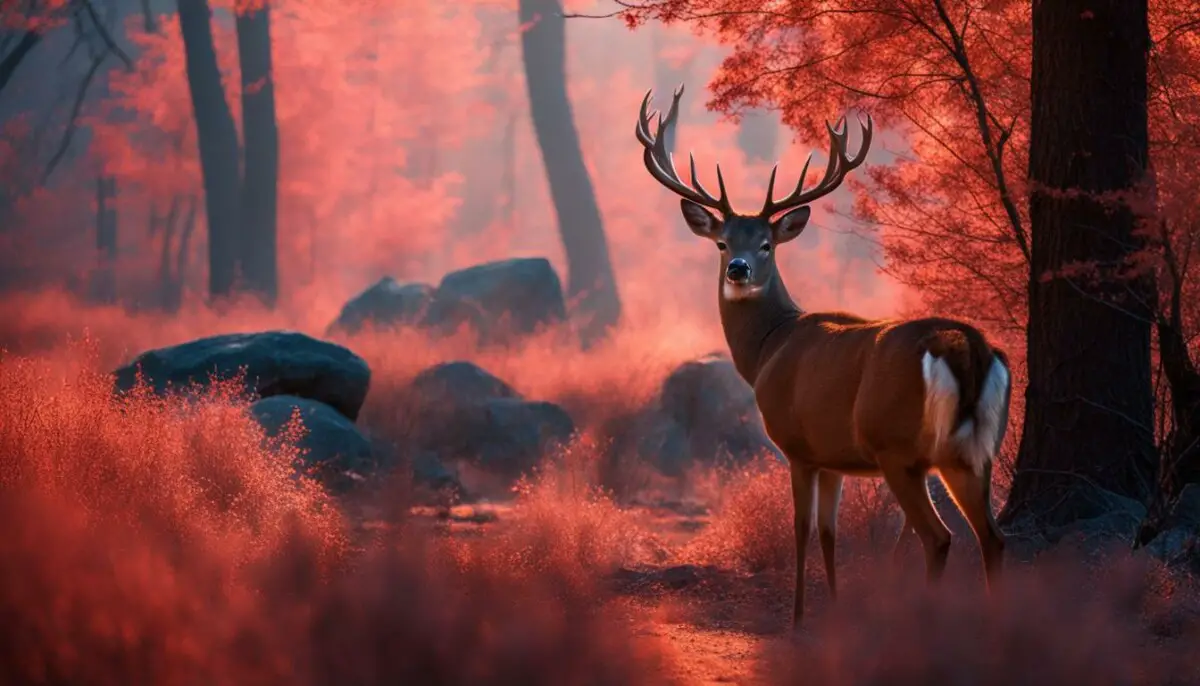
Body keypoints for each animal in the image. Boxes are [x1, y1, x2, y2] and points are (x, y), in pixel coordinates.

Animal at [635, 85, 1012, 627]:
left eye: (767, 244)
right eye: (722, 242)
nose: (738, 269)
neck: (768, 348)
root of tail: (969, 348)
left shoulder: (798, 445)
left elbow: (802, 530)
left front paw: (797, 621)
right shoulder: (835, 456)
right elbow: (832, 535)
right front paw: (831, 611)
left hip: (899, 447)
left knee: (939, 538)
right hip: (975, 451)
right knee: (994, 538)